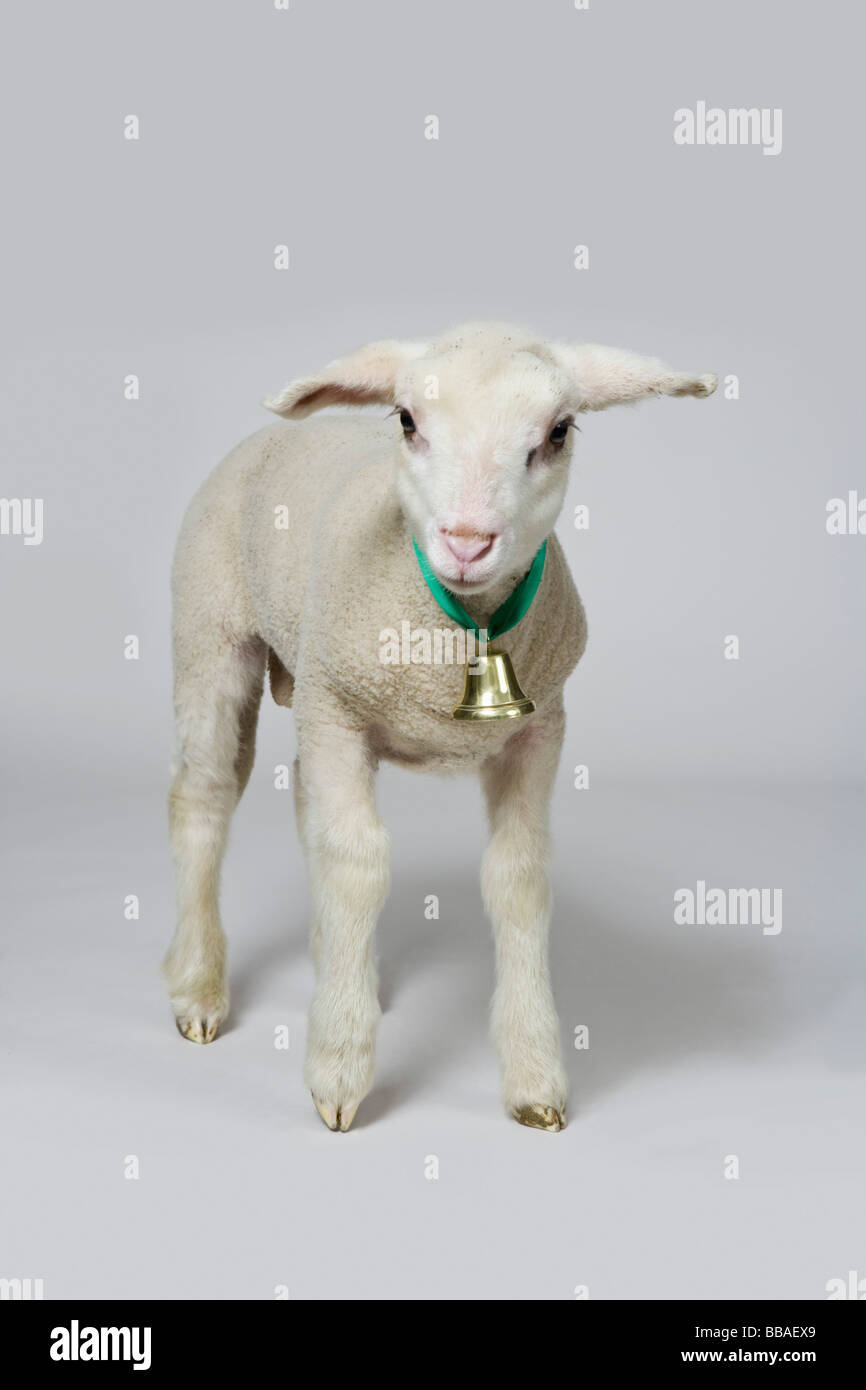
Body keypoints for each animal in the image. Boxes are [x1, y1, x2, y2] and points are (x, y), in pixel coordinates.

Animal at [163, 321, 716, 1132]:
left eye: (558, 431)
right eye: (406, 421)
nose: (467, 540)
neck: (461, 624)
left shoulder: (538, 731)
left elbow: (518, 878)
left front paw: (534, 1075)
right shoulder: (339, 709)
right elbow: (357, 864)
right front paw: (339, 1065)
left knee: (301, 803)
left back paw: (331, 959)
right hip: (215, 634)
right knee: (203, 796)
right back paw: (198, 986)